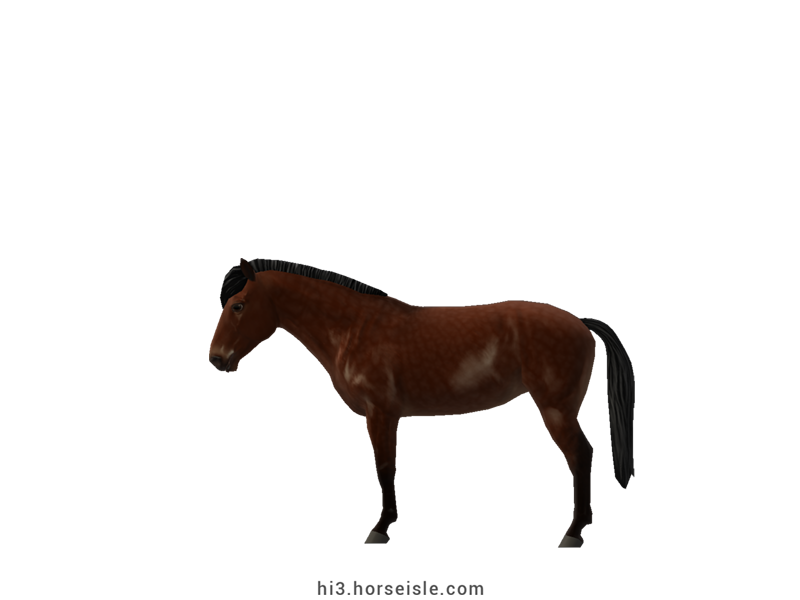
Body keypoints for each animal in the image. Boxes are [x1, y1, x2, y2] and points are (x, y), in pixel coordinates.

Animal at [210, 259, 634, 540]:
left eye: (238, 305)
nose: (217, 358)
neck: (353, 328)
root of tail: (581, 324)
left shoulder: (380, 410)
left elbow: (384, 465)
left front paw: (382, 526)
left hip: (556, 407)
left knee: (580, 457)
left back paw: (576, 529)